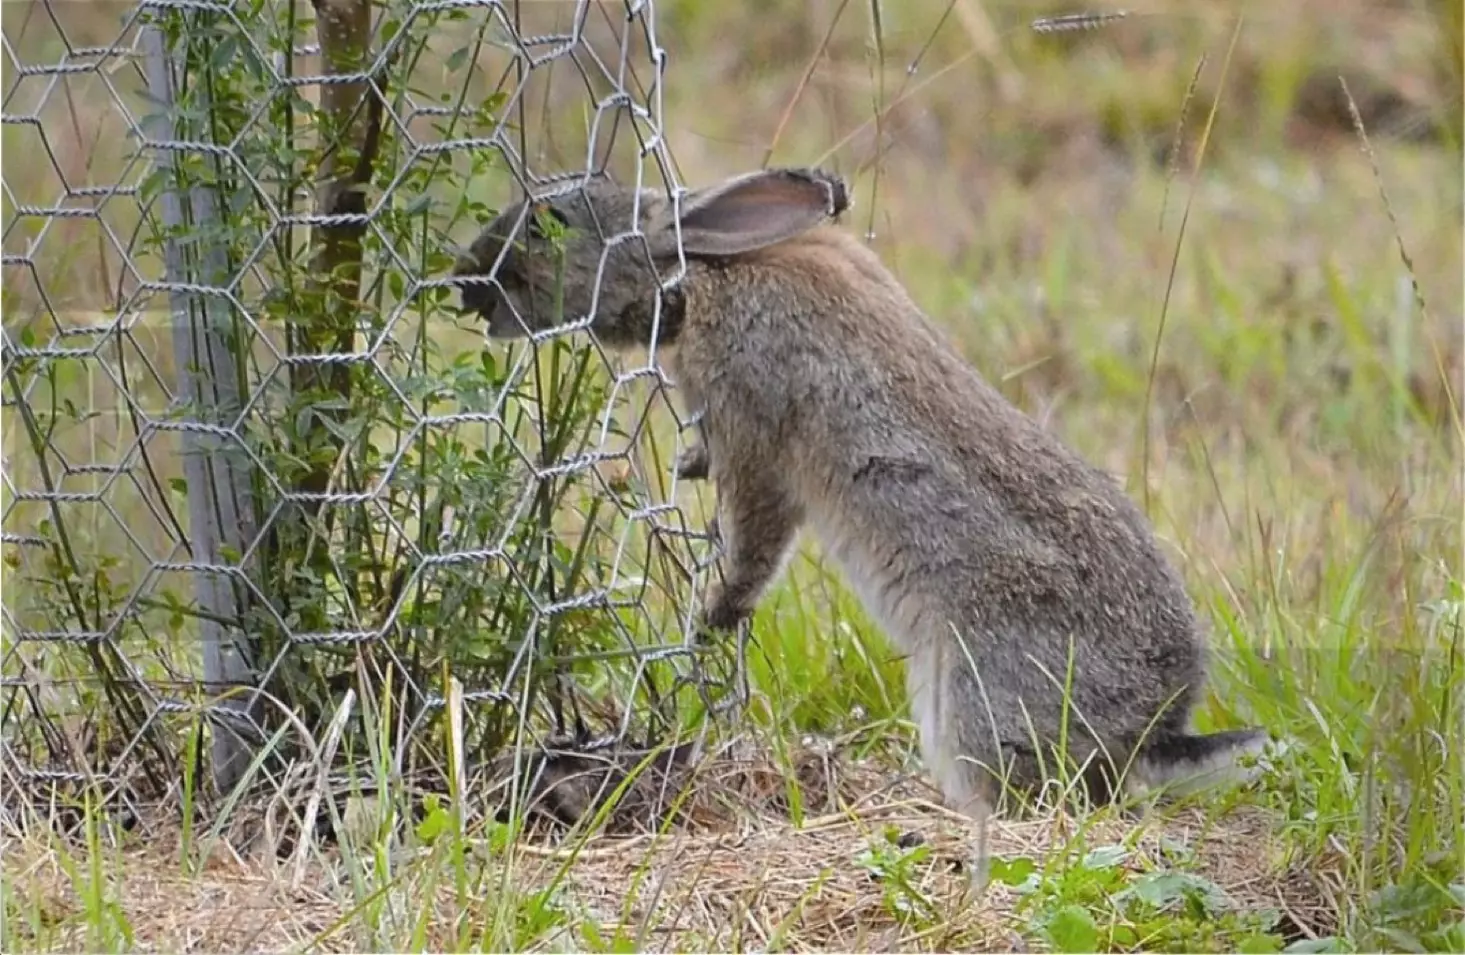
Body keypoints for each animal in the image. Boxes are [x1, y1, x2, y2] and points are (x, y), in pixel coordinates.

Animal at [451, 166, 1277, 878]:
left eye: (549, 225)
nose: (467, 277)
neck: (701, 271)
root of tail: (1154, 729)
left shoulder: (751, 419)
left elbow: (755, 534)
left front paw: (714, 614)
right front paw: (688, 469)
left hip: (977, 697)